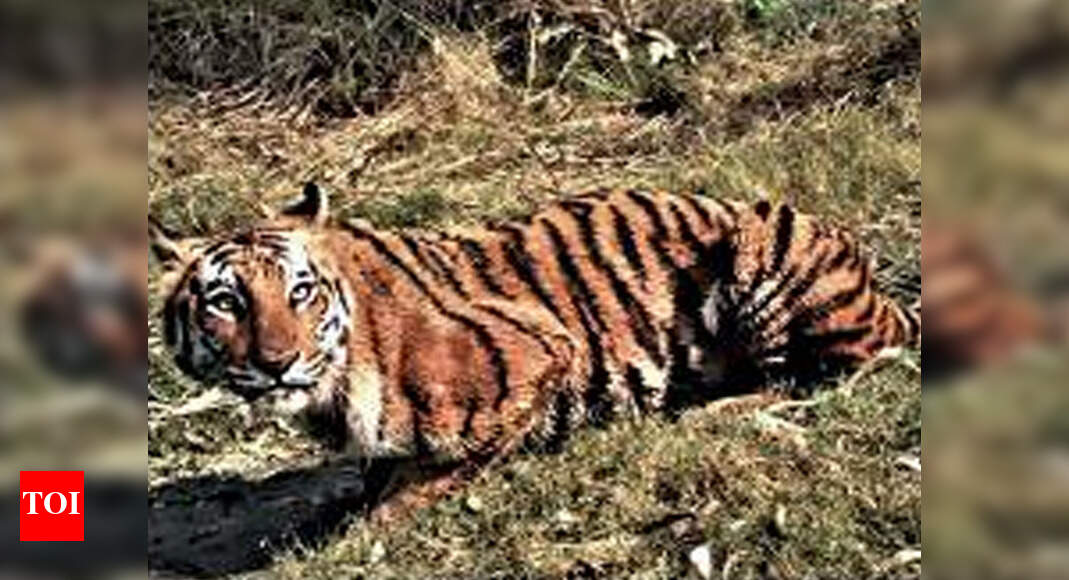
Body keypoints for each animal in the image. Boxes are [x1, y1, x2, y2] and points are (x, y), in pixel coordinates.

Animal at [150, 182, 920, 520]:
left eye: (300, 291)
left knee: (829, 372)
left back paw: (703, 411)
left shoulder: (541, 351)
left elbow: (424, 480)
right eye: (226, 302)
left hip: (765, 243)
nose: (279, 362)